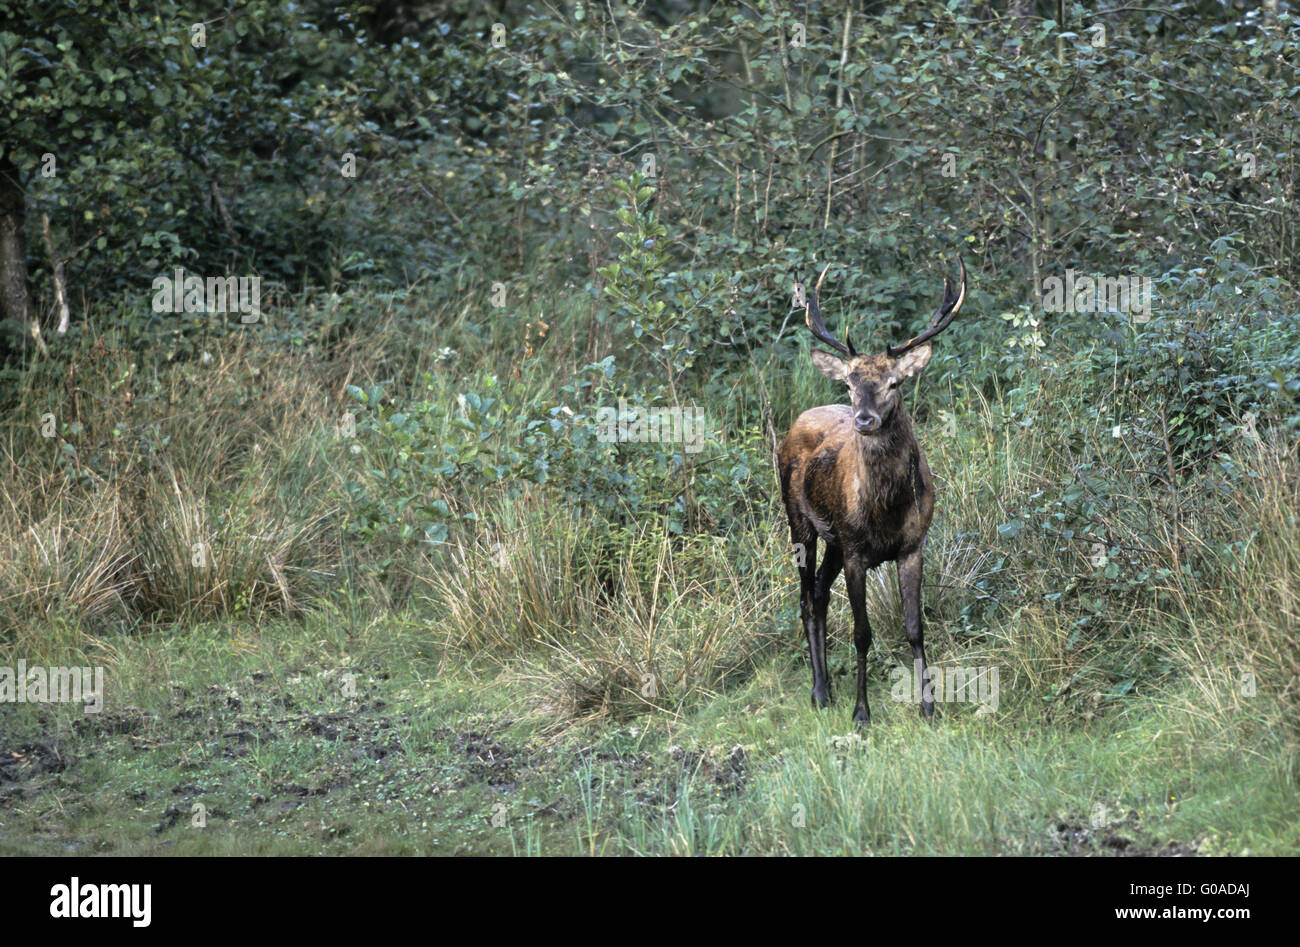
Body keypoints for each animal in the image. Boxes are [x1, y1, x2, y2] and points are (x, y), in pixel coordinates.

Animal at [778, 257, 967, 726]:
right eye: (848, 384)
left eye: (895, 382)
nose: (864, 419)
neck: (885, 511)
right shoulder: (856, 552)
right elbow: (863, 633)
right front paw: (862, 714)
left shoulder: (913, 544)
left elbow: (915, 627)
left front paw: (929, 707)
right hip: (799, 522)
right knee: (806, 599)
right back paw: (820, 691)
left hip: (833, 538)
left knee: (819, 594)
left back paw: (825, 686)